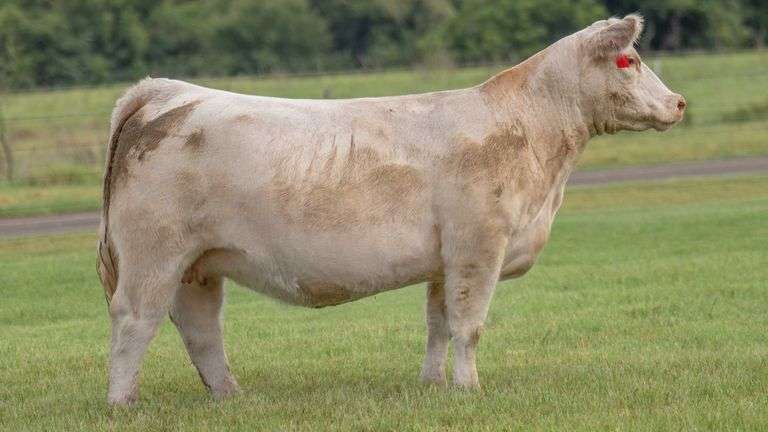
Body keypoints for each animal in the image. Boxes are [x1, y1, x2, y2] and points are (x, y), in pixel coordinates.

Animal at [98, 14, 685, 405]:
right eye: (630, 60)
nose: (679, 102)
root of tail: (165, 92)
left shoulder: (445, 260)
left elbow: (439, 324)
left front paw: (434, 386)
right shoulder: (478, 245)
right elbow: (470, 324)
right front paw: (470, 388)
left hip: (198, 264)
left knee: (200, 330)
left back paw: (231, 397)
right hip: (153, 253)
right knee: (135, 319)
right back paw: (123, 403)